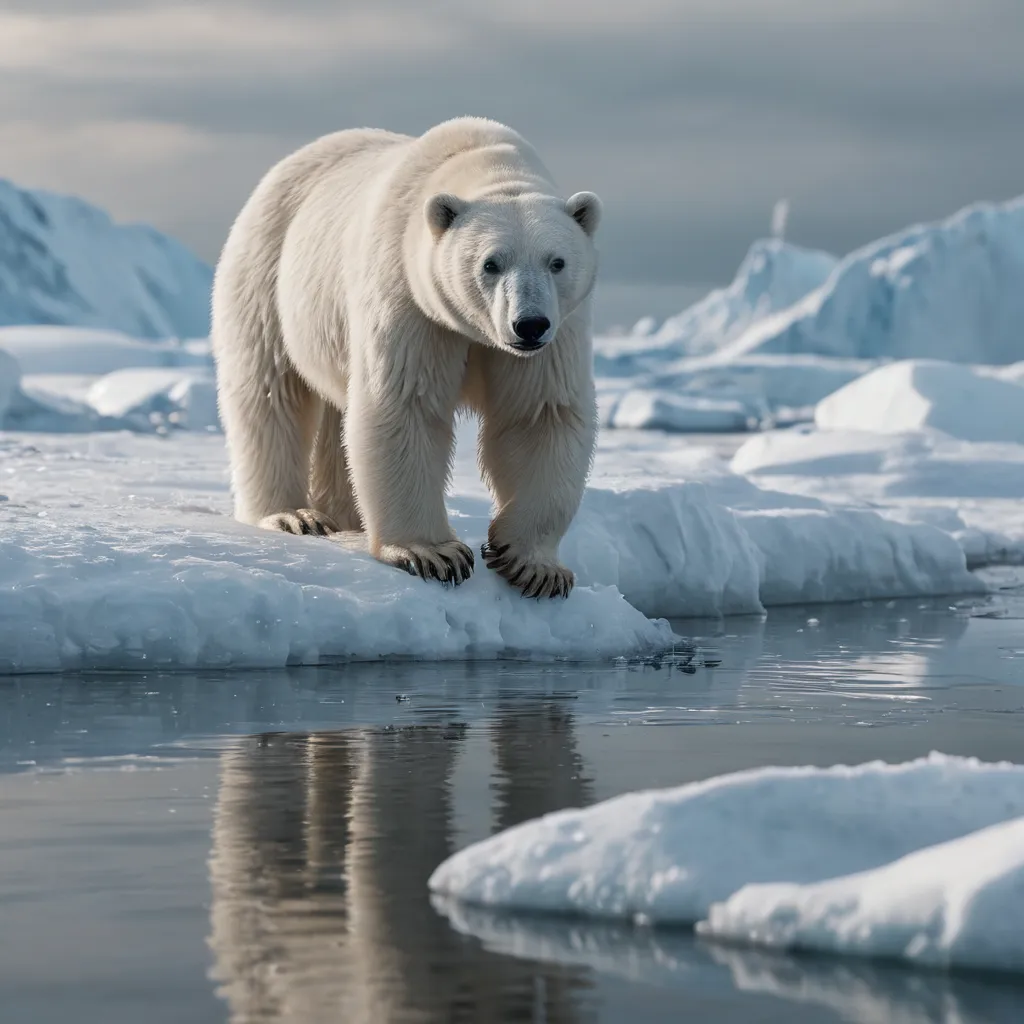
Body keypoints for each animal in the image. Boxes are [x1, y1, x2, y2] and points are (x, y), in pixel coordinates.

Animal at [211, 117, 601, 599]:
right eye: (491, 263)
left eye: (557, 261)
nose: (529, 325)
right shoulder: (409, 296)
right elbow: (404, 405)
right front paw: (432, 554)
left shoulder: (559, 332)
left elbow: (540, 413)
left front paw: (534, 566)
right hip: (268, 271)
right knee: (270, 391)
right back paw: (293, 516)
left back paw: (345, 514)